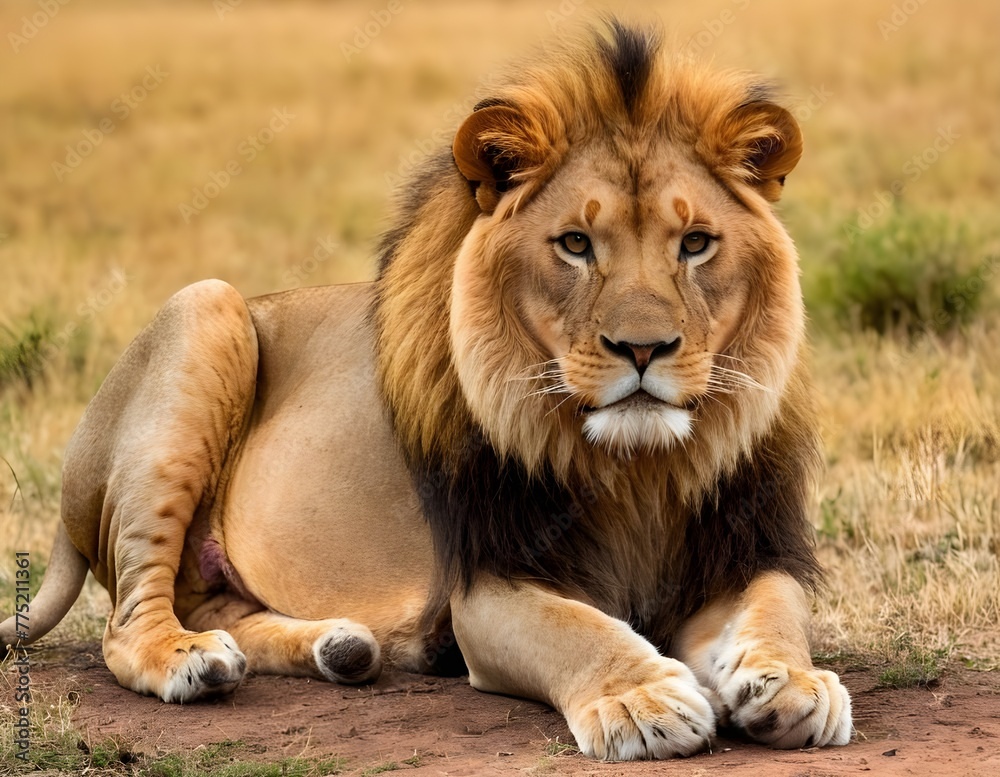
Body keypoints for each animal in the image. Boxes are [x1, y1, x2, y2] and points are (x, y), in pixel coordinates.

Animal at [1, 21, 852, 759]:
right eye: (576, 244)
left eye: (697, 243)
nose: (643, 348)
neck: (640, 469)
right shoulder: (489, 580)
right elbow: (577, 630)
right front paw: (641, 699)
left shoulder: (745, 547)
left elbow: (779, 610)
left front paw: (796, 682)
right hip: (206, 309)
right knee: (128, 619)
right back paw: (192, 660)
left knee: (211, 601)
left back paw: (338, 646)